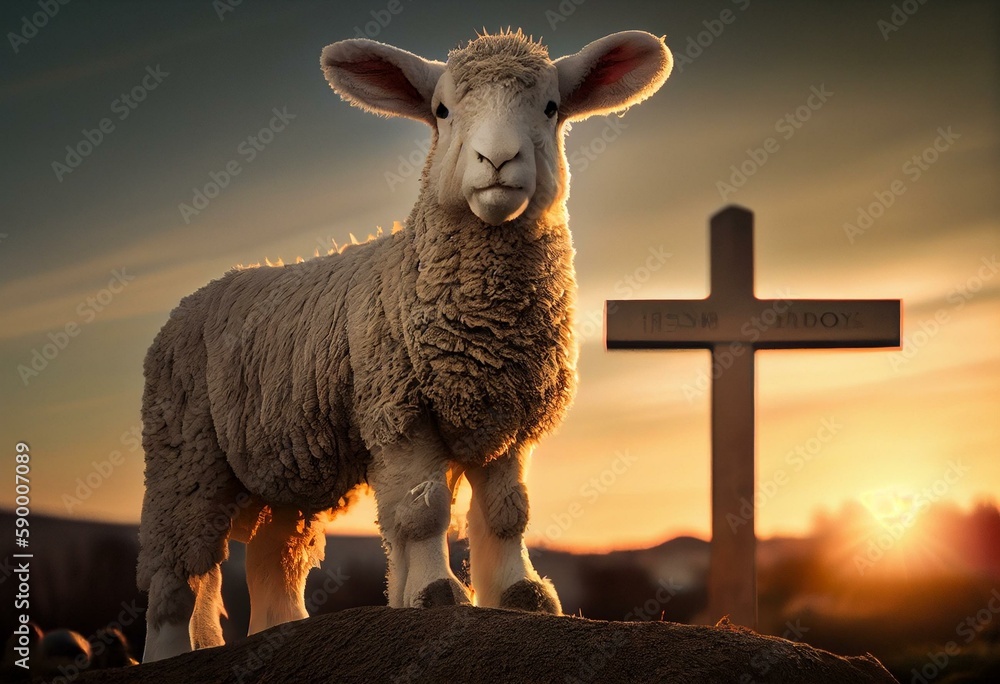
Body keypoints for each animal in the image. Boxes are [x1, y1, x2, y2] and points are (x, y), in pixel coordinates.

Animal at [137, 28, 672, 662]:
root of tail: (198, 294)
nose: (498, 161)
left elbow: (507, 513)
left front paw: (520, 594)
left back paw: (280, 631)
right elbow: (422, 513)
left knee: (275, 558)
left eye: (551, 107)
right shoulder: (399, 410)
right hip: (184, 456)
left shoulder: (507, 419)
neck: (484, 327)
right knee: (176, 567)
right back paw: (168, 652)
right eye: (441, 110)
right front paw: (436, 593)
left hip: (282, 466)